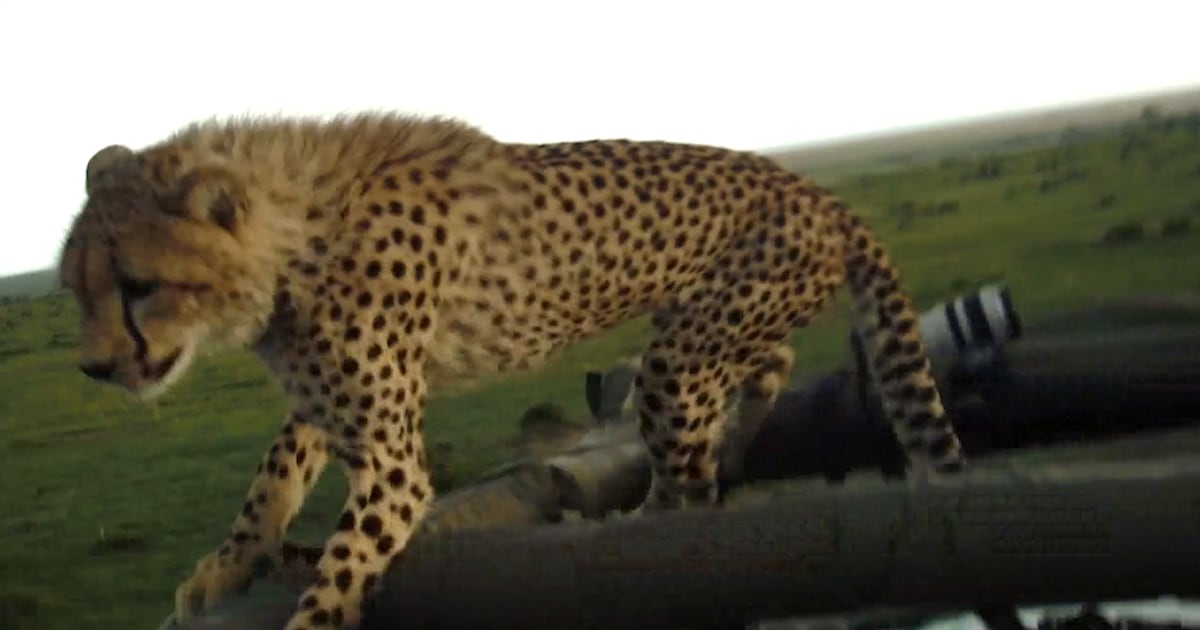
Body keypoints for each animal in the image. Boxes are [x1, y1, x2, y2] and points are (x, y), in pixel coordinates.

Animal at [58, 112, 965, 630]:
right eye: (77, 288)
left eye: (138, 286)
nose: (96, 367)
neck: (291, 238)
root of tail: (819, 191)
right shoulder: (326, 395)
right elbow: (273, 474)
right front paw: (226, 565)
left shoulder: (392, 458)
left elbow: (343, 569)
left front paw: (303, 597)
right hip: (708, 329)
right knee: (762, 366)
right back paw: (733, 436)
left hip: (684, 353)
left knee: (689, 480)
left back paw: (634, 517)